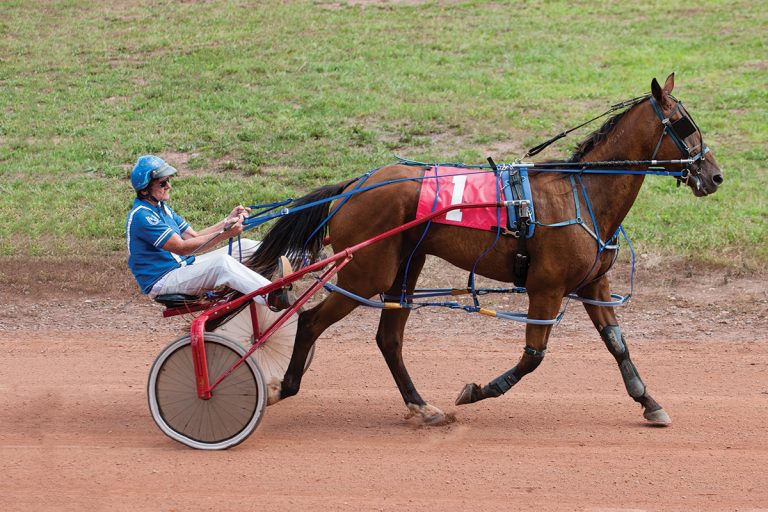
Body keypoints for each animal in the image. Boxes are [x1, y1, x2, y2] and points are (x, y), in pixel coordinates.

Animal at [246, 73, 723, 426]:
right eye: (685, 124)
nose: (715, 175)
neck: (582, 192)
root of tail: (356, 184)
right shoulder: (546, 289)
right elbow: (533, 357)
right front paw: (478, 391)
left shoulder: (594, 284)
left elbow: (617, 344)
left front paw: (649, 402)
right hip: (367, 272)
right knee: (311, 321)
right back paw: (285, 386)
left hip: (405, 267)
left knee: (388, 338)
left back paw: (421, 405)